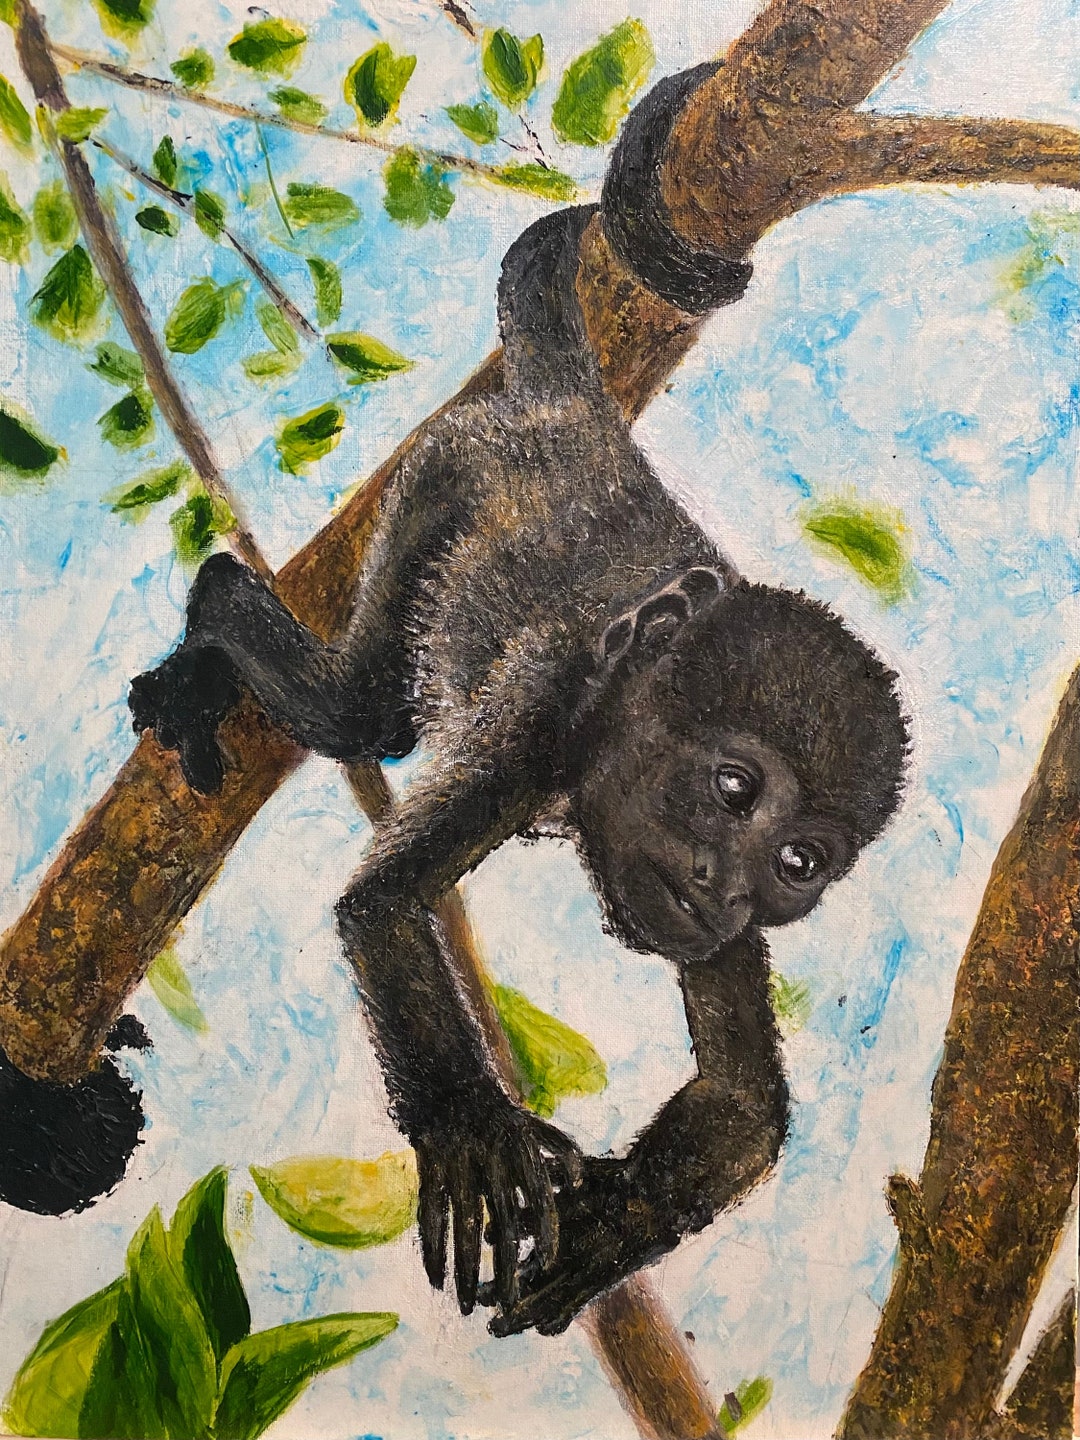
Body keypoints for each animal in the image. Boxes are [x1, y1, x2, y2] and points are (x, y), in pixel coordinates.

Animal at [121, 60, 908, 1336]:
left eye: (798, 865)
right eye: (732, 789)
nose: (722, 884)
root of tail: (576, 418)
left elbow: (743, 1104)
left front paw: (620, 1224)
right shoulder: (538, 709)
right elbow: (384, 903)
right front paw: (470, 1129)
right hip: (448, 469)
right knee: (359, 712)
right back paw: (219, 614)